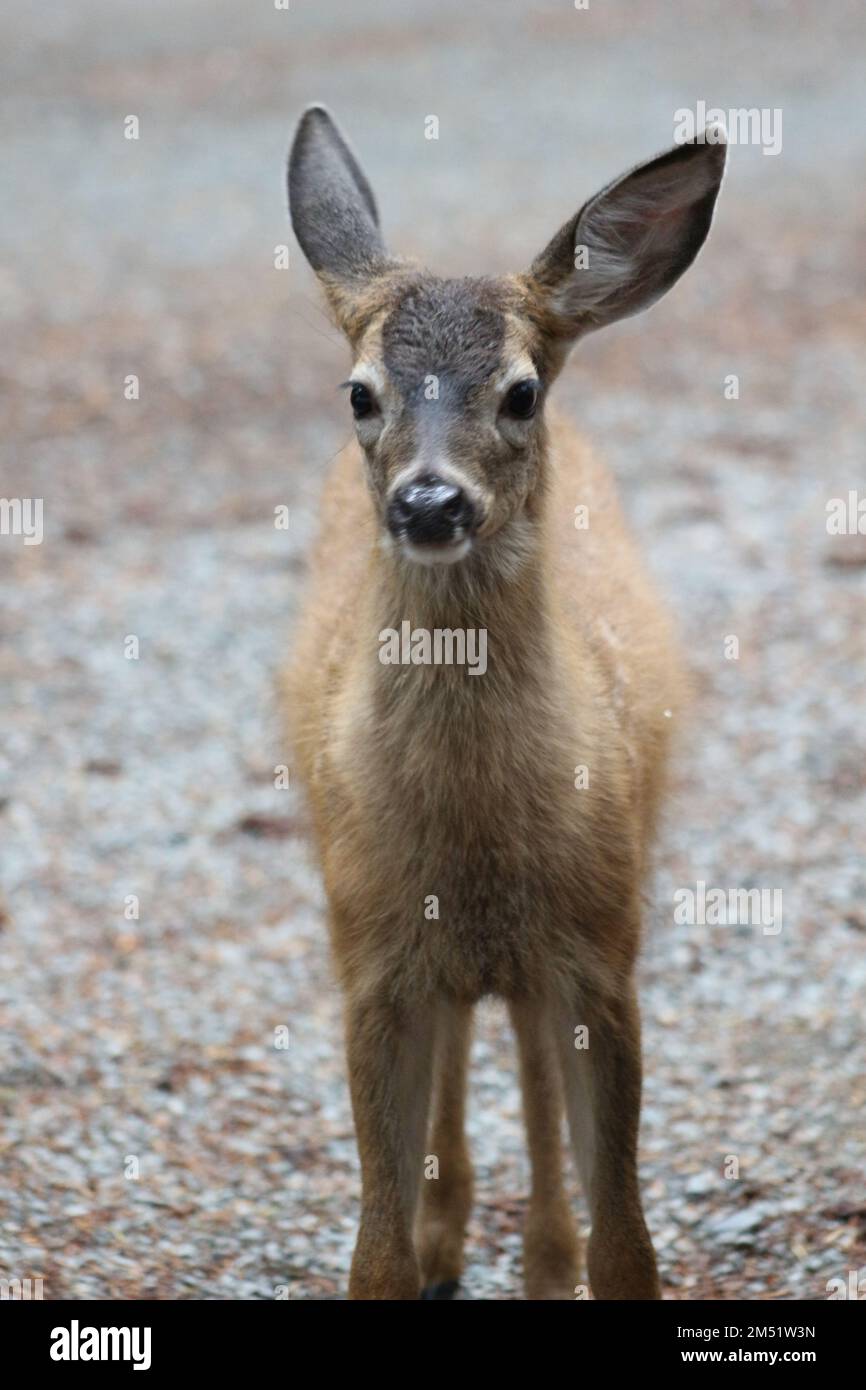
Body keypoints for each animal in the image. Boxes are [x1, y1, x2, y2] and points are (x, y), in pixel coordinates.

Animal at [285, 106, 726, 1300]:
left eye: (522, 392)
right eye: (358, 392)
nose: (431, 500)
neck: (473, 837)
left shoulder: (602, 953)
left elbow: (628, 1251)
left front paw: (572, 1256)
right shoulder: (368, 957)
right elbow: (374, 1259)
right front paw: (423, 1249)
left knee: (519, 1050)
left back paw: (538, 1256)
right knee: (463, 1041)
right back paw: (453, 1237)